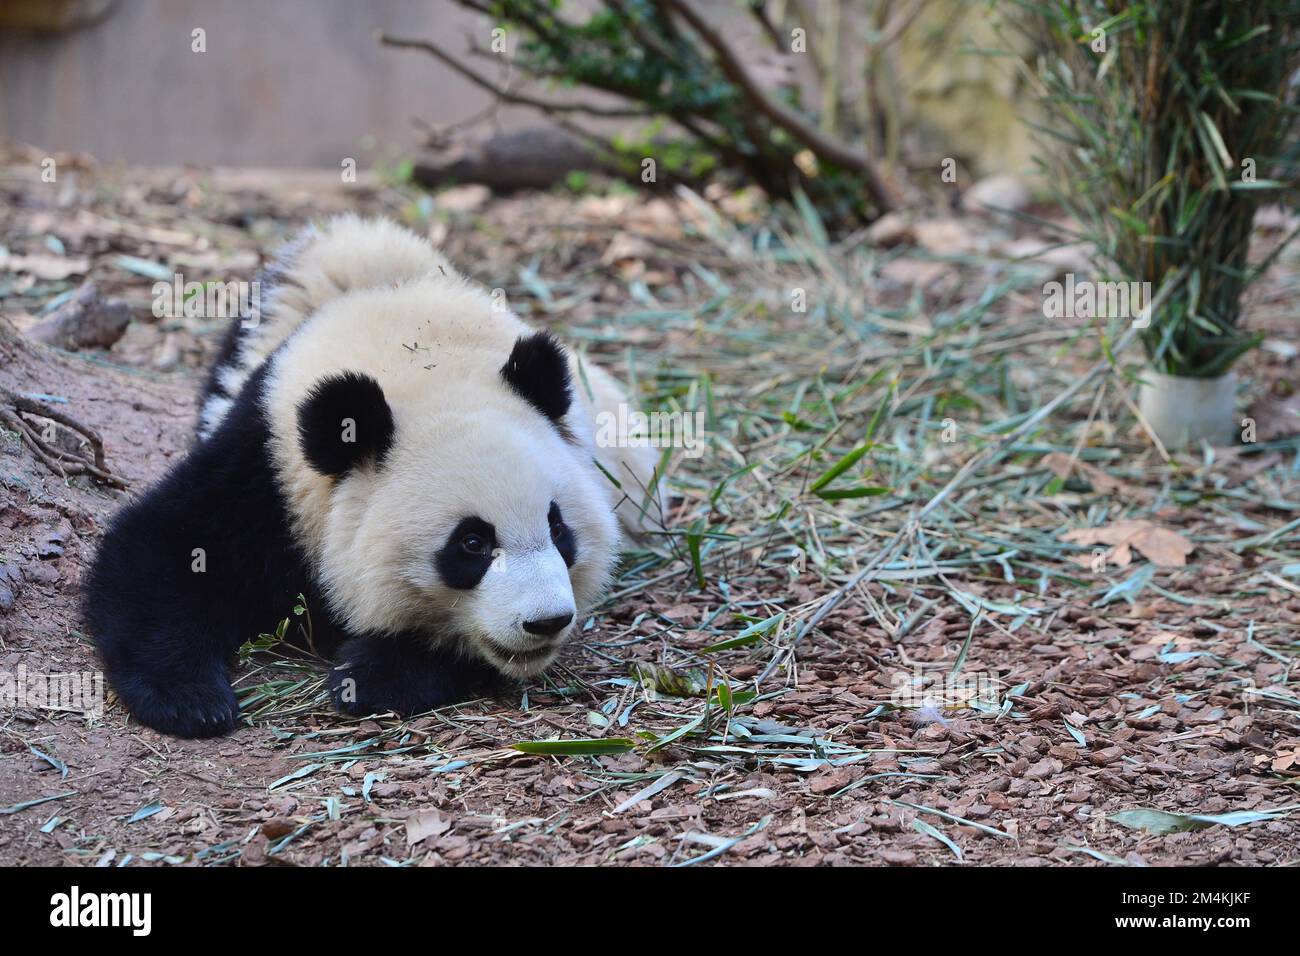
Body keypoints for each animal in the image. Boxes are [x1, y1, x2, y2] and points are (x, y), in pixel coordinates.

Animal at [84, 215, 662, 738]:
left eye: (558, 528)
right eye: (472, 543)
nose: (546, 621)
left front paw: (372, 673)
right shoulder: (264, 464)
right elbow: (164, 552)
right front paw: (192, 701)